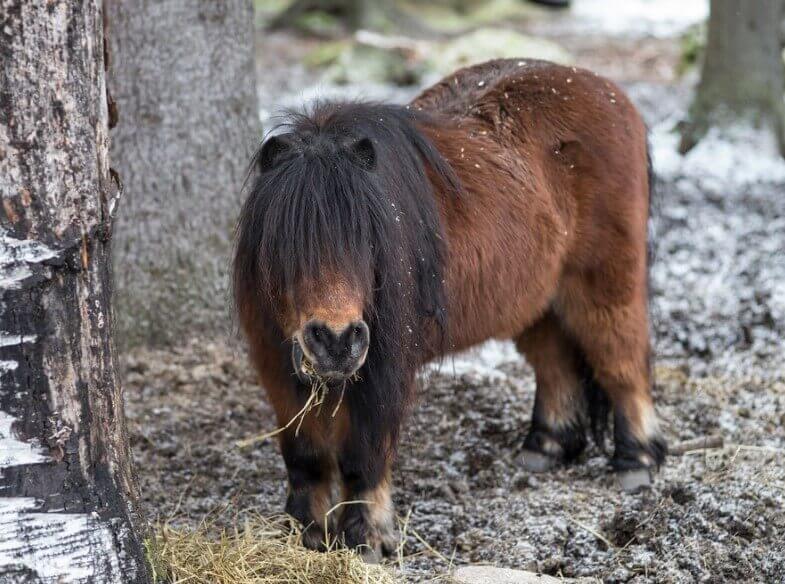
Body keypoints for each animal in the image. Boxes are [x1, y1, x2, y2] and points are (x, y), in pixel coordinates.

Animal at [233, 58, 667, 561]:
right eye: (285, 244)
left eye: (367, 238)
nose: (336, 341)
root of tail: (612, 94)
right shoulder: (278, 370)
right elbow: (304, 456)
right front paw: (304, 534)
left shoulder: (384, 372)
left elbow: (364, 455)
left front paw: (367, 539)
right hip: (535, 300)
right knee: (555, 363)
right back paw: (546, 446)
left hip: (606, 286)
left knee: (622, 362)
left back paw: (635, 461)